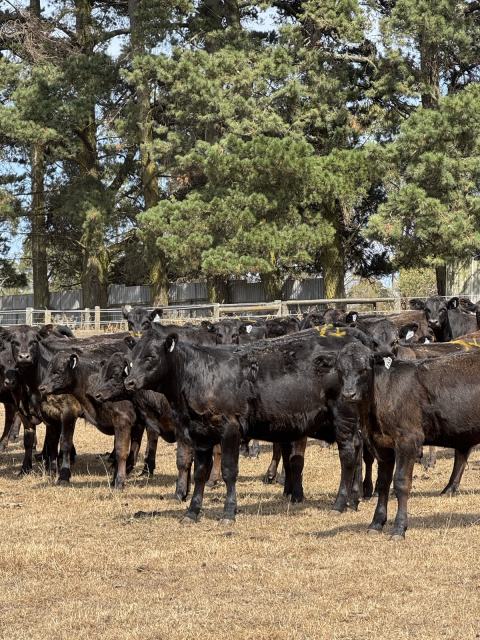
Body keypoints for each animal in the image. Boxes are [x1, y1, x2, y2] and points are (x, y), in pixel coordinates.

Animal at [335, 341, 480, 539]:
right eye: (339, 370)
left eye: (364, 369)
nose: (348, 394)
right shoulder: (381, 444)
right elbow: (383, 483)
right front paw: (376, 523)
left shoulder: (408, 441)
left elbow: (401, 483)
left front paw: (399, 528)